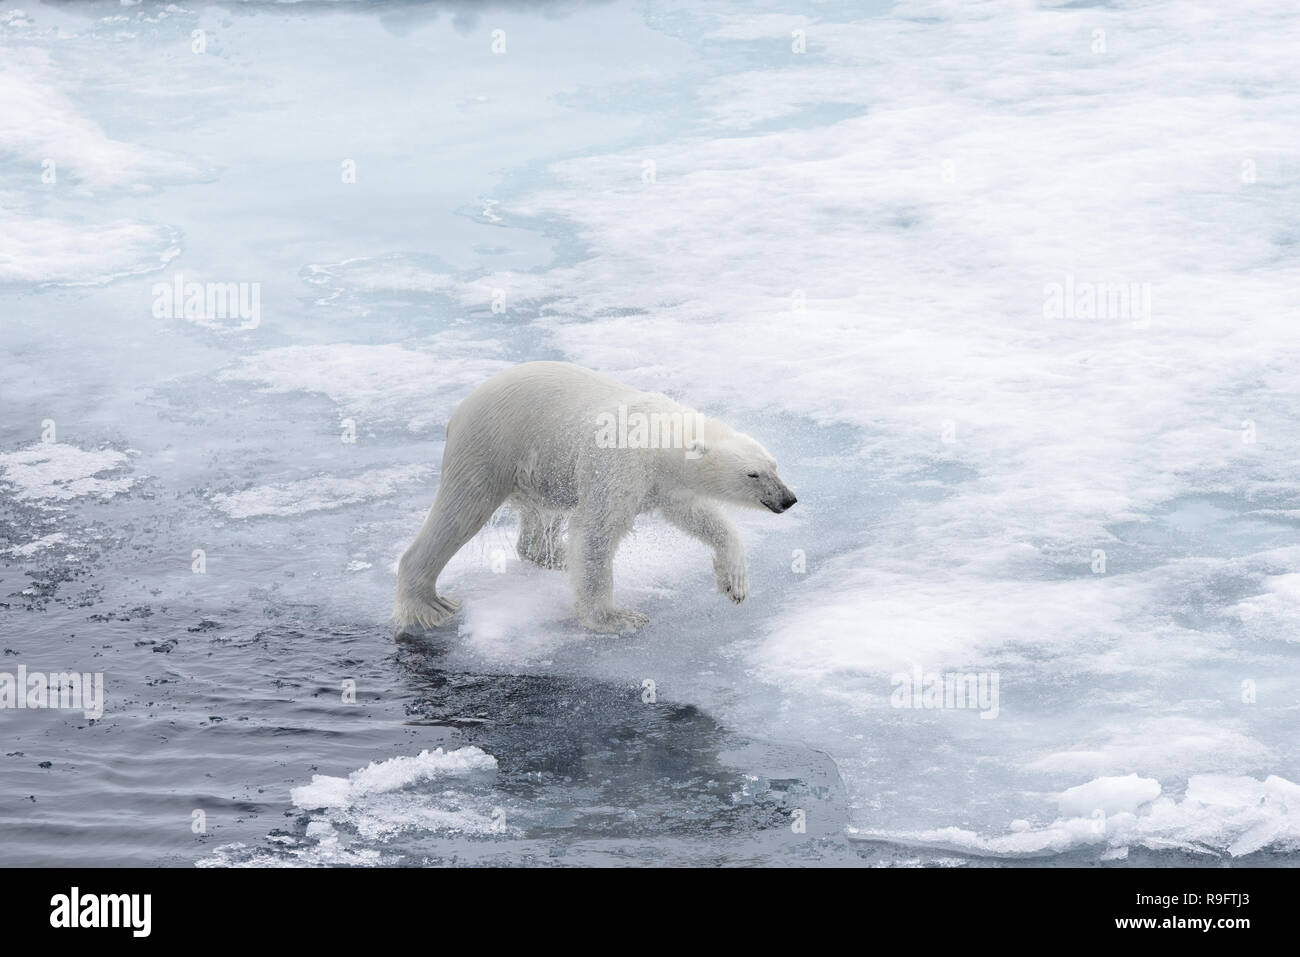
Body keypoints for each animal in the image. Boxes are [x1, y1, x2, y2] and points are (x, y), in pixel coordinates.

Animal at [393, 361, 797, 635]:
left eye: (774, 465)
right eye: (752, 474)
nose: (788, 499)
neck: (657, 435)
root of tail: (457, 412)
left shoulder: (664, 483)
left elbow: (699, 516)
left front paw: (736, 584)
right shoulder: (618, 465)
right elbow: (595, 534)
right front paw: (616, 618)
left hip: (542, 467)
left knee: (541, 516)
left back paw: (554, 555)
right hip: (491, 443)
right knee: (461, 510)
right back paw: (431, 603)